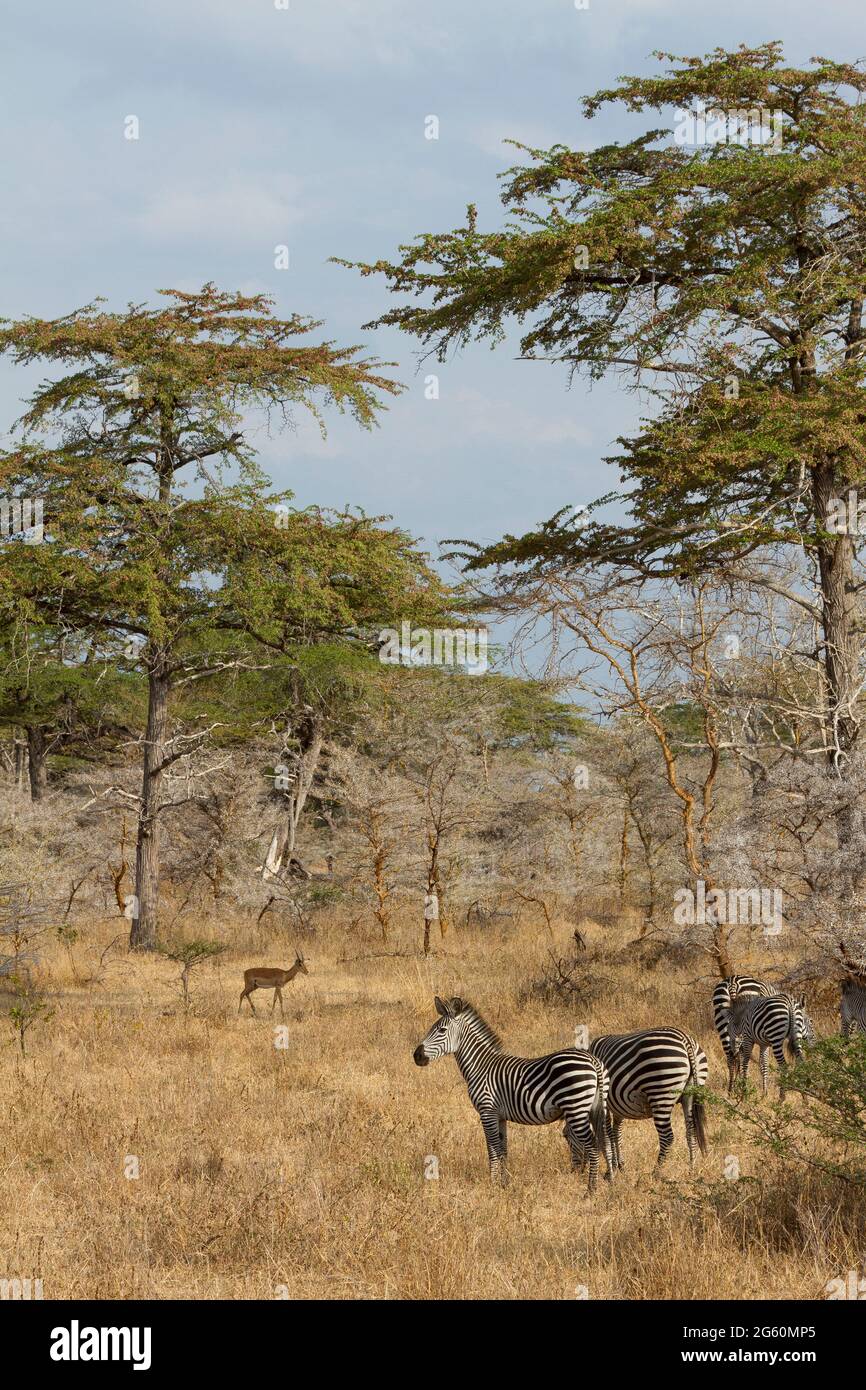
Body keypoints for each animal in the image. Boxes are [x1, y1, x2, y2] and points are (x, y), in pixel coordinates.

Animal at [412, 996, 613, 1191]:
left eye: (442, 1030)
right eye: (432, 1028)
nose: (416, 1056)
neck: (480, 1066)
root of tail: (593, 1060)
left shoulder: (487, 1112)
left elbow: (493, 1150)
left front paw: (493, 1185)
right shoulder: (500, 1116)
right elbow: (503, 1150)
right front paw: (504, 1184)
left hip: (576, 1107)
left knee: (593, 1145)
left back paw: (591, 1190)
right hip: (597, 1107)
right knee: (605, 1142)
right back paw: (608, 1182)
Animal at [590, 1027, 708, 1171]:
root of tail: (685, 1039)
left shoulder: (605, 1104)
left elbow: (607, 1133)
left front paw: (612, 1168)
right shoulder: (618, 1106)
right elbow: (615, 1131)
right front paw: (619, 1165)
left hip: (661, 1091)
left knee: (667, 1137)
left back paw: (656, 1172)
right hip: (692, 1092)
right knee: (691, 1132)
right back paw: (692, 1169)